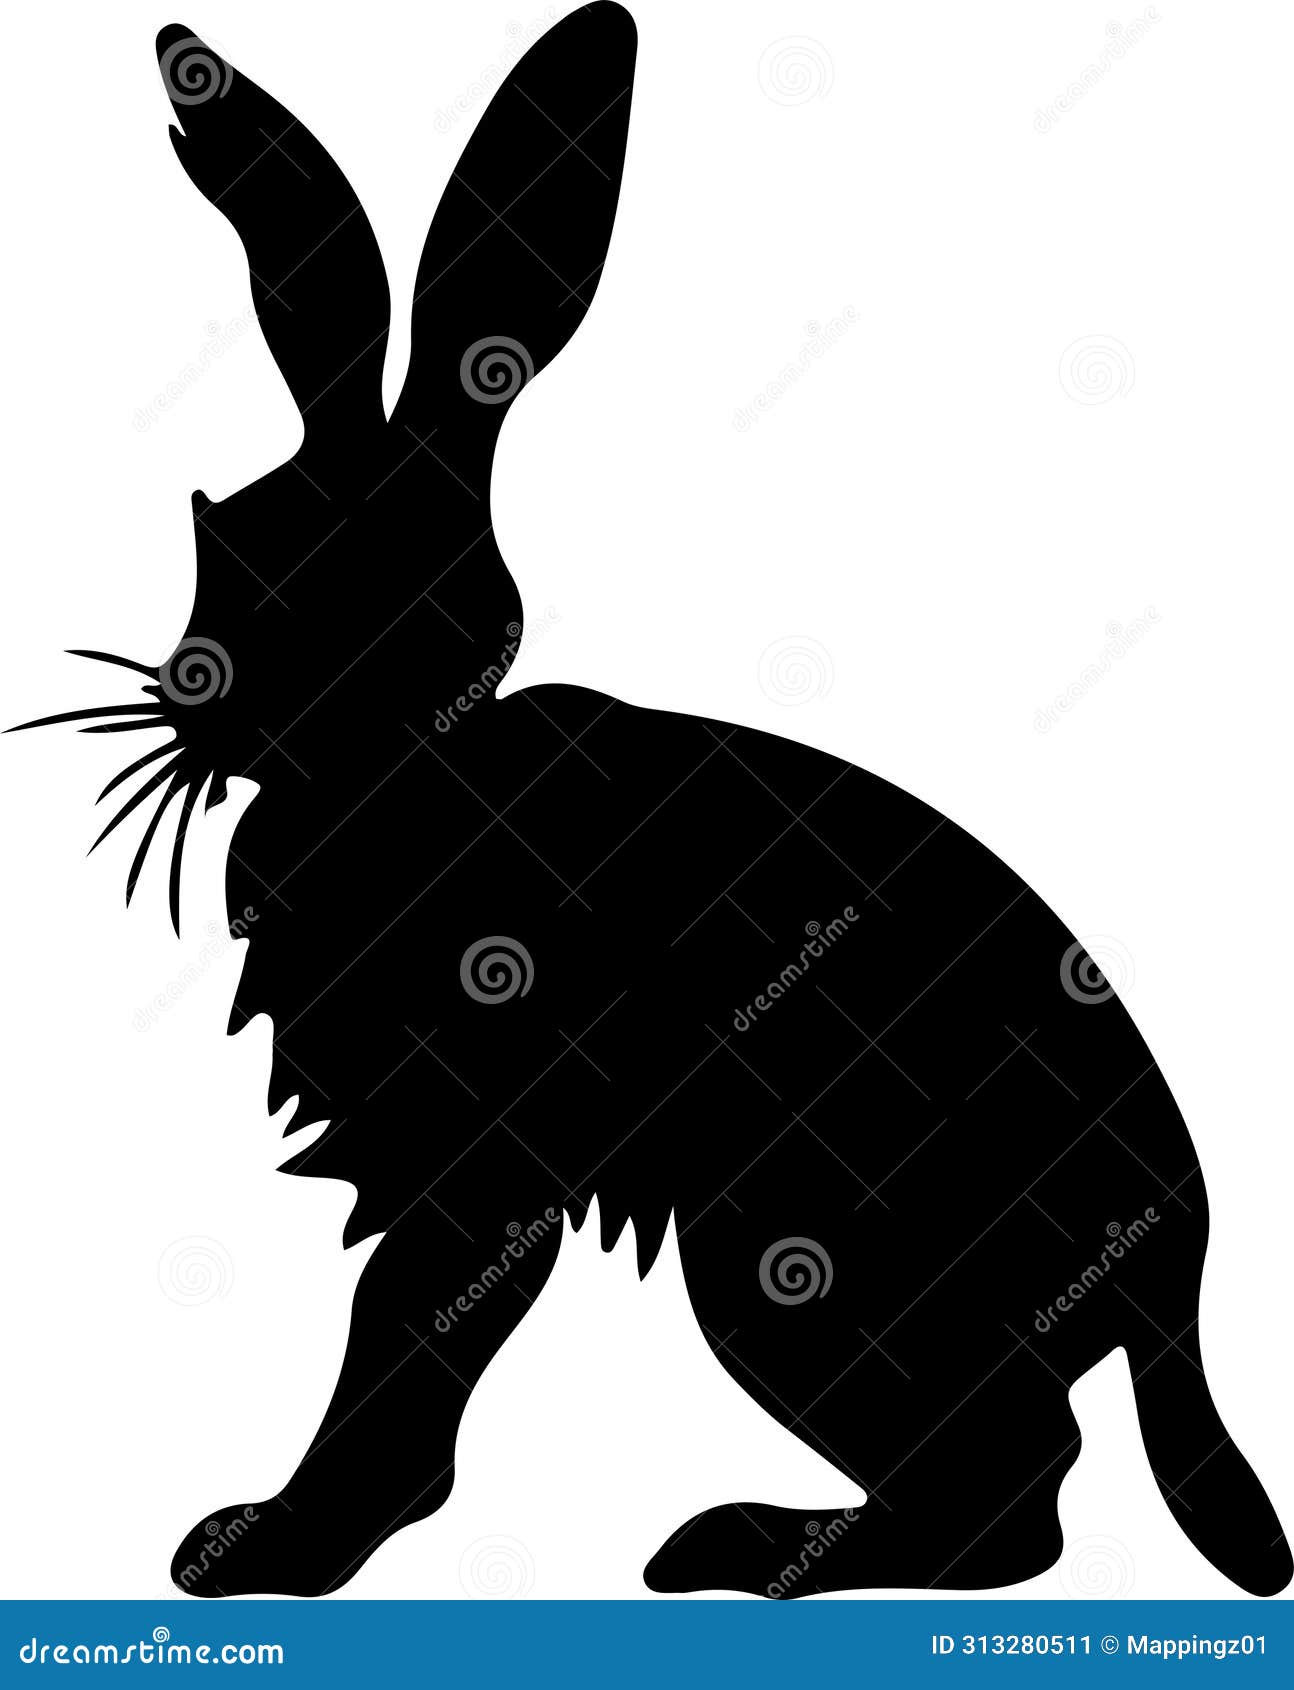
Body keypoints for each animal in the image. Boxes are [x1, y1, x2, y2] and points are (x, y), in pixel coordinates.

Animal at [12, 5, 1290, 1600]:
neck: (398, 782)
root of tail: (1169, 1266)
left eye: (402, 569)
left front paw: (274, 1546)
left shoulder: (474, 1154)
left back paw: (733, 1546)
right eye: (221, 542)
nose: (217, 687)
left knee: (1016, 1490)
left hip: (783, 1255)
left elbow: (405, 1335)